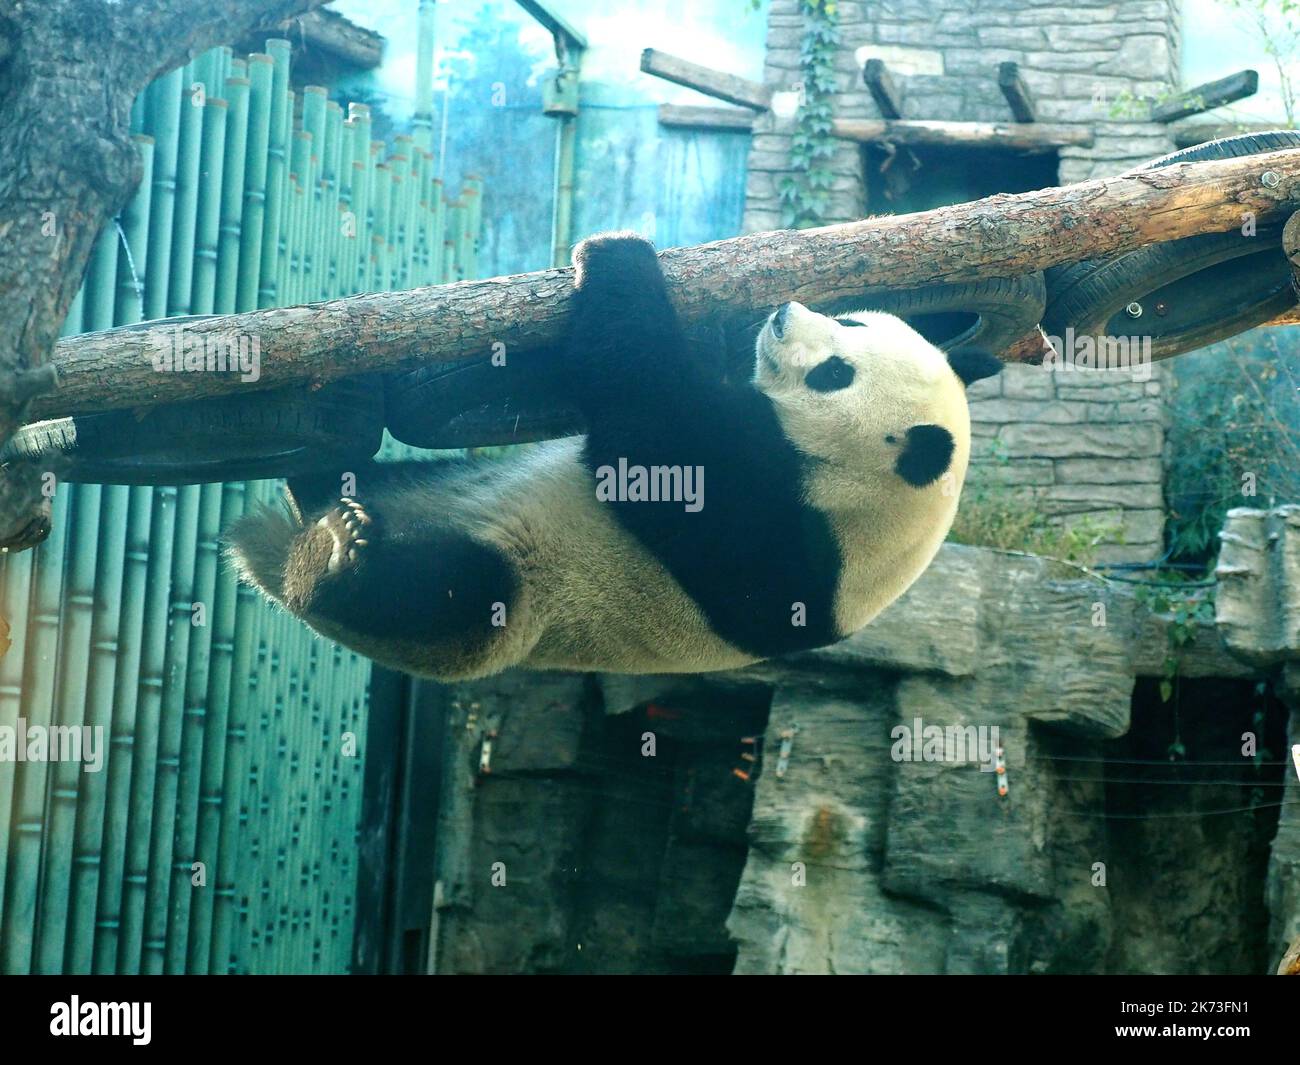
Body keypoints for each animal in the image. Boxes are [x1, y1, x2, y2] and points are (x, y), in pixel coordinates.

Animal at [225, 233, 1001, 680]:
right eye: (853, 320)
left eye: (836, 372)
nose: (783, 315)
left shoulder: (789, 536)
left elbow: (654, 448)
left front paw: (618, 258)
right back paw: (317, 486)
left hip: (515, 599)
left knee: (444, 594)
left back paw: (331, 554)